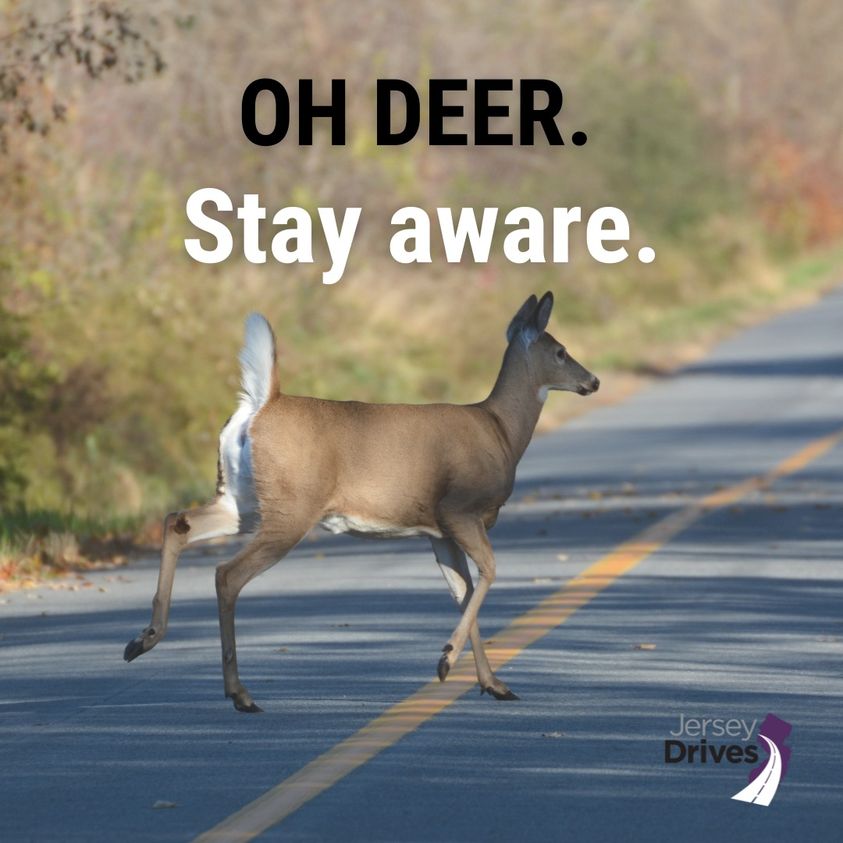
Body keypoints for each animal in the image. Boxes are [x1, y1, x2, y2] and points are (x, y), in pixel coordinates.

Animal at [124, 292, 599, 712]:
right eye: (560, 351)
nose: (592, 380)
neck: (500, 430)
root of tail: (262, 404)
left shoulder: (438, 531)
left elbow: (463, 592)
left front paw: (493, 684)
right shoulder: (459, 508)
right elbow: (489, 573)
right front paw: (447, 661)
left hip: (242, 500)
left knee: (178, 521)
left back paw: (143, 640)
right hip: (291, 508)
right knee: (227, 574)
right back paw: (239, 694)